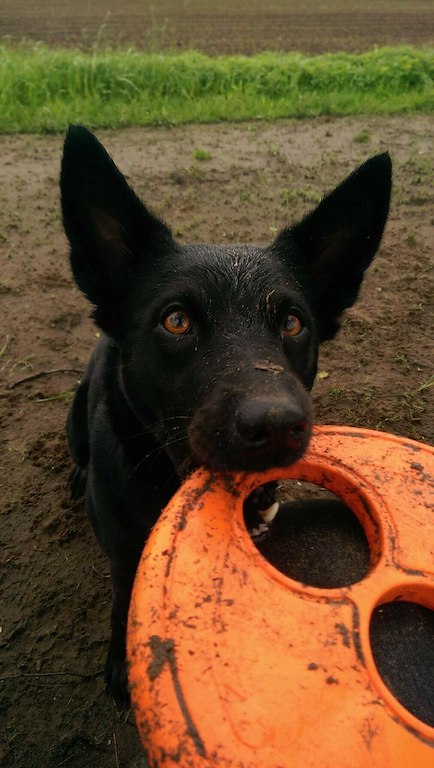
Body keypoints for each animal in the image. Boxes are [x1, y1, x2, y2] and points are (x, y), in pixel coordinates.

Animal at [62, 124, 394, 704]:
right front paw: (122, 659)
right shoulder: (124, 549)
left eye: (292, 323)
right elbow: (126, 587)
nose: (277, 425)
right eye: (176, 321)